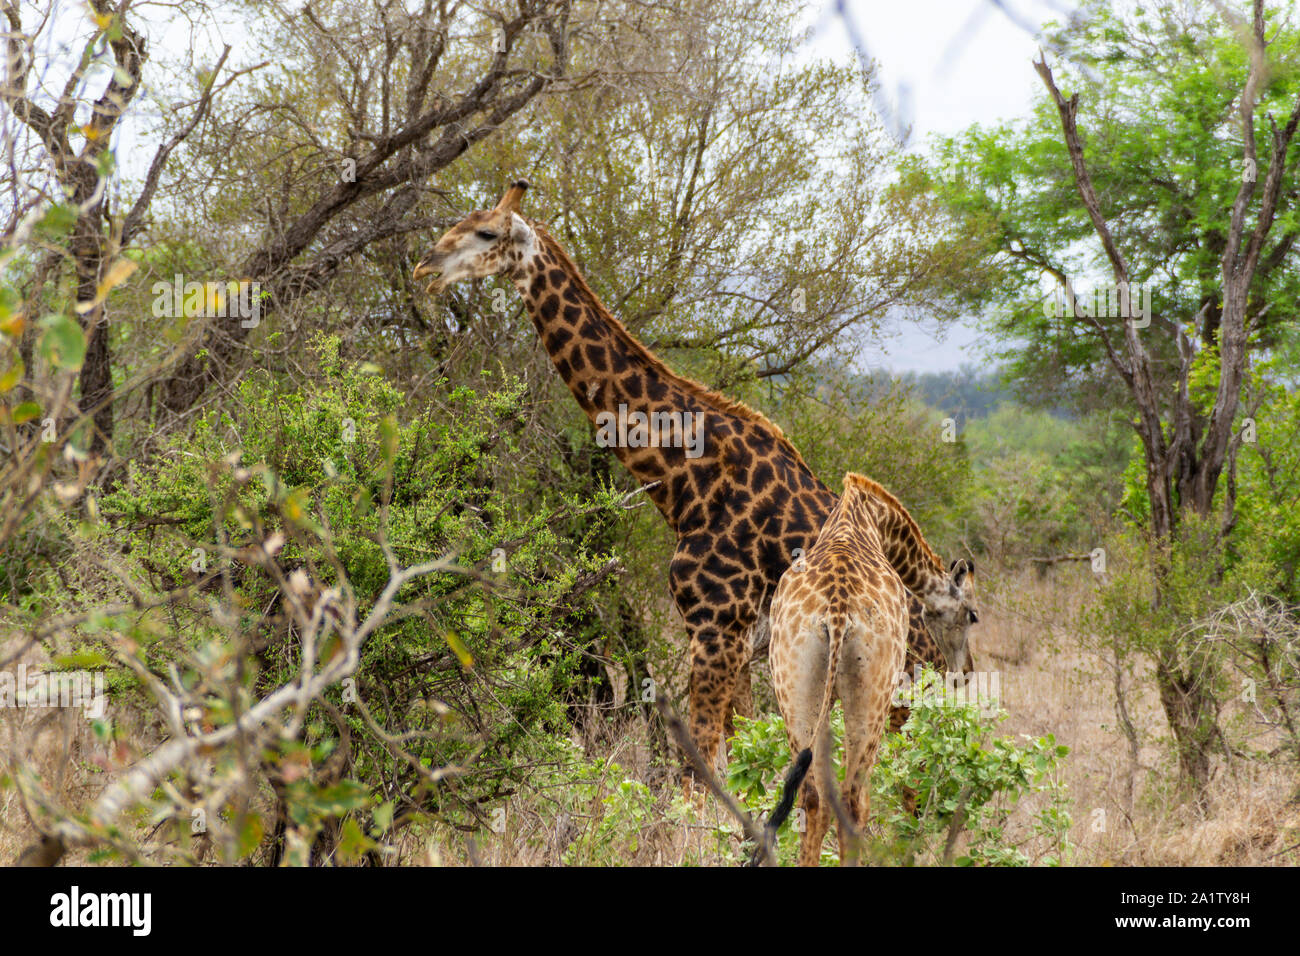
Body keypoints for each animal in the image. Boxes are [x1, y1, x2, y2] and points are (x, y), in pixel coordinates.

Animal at [412, 181, 975, 788]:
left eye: (486, 232)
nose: (425, 267)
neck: (687, 479)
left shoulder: (715, 632)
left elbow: (704, 766)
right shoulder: (731, 643)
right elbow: (737, 757)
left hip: (887, 685)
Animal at [763, 473, 978, 866]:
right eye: (973, 615)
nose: (965, 671)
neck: (871, 517)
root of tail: (836, 612)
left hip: (793, 687)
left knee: (811, 797)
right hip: (873, 699)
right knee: (852, 799)